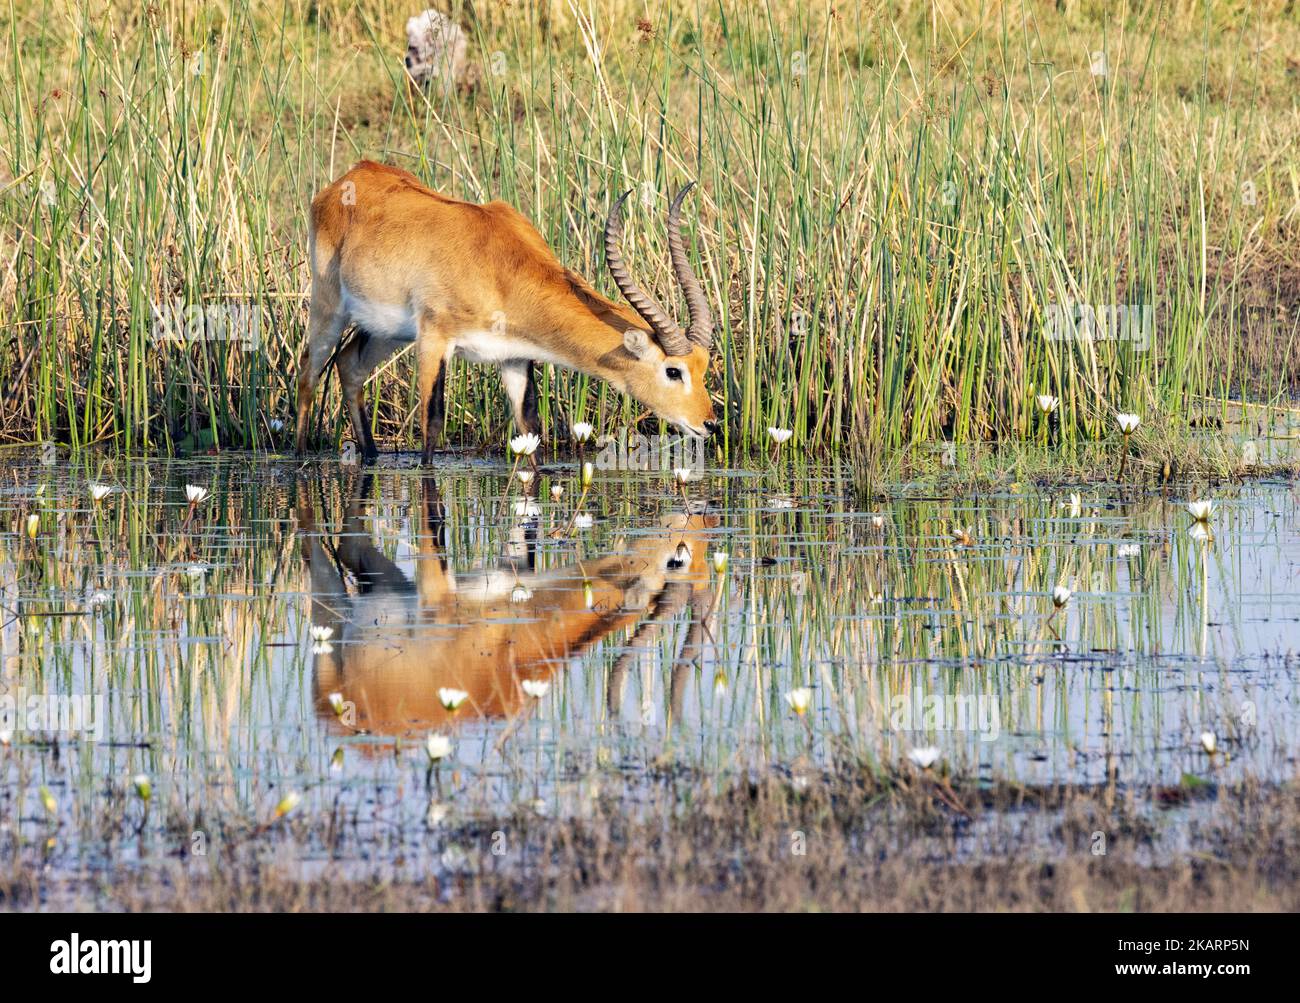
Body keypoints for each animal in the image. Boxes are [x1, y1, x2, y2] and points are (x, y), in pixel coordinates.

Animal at [295, 161, 719, 464]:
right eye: (673, 371)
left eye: (704, 368)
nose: (710, 424)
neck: (499, 266)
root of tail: (350, 177)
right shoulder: (434, 339)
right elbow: (432, 424)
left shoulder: (514, 357)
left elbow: (530, 428)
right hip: (329, 309)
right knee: (308, 372)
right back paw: (299, 457)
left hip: (385, 331)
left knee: (348, 364)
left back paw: (370, 457)